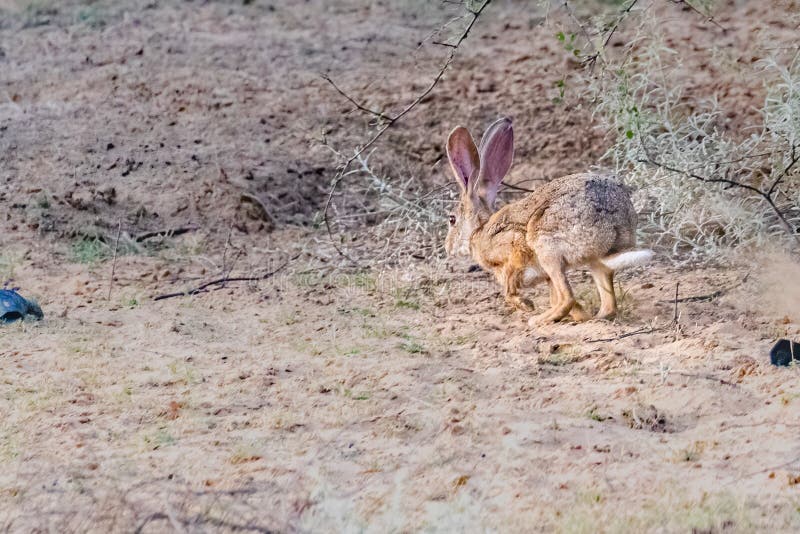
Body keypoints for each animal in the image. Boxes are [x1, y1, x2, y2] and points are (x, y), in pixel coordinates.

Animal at [444, 117, 653, 325]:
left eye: (452, 220)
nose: (447, 247)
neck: (478, 229)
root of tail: (615, 226)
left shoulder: (513, 247)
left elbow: (510, 288)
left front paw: (526, 305)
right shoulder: (545, 277)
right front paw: (579, 315)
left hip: (547, 247)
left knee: (568, 298)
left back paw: (537, 320)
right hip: (592, 263)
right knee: (607, 305)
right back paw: (592, 318)